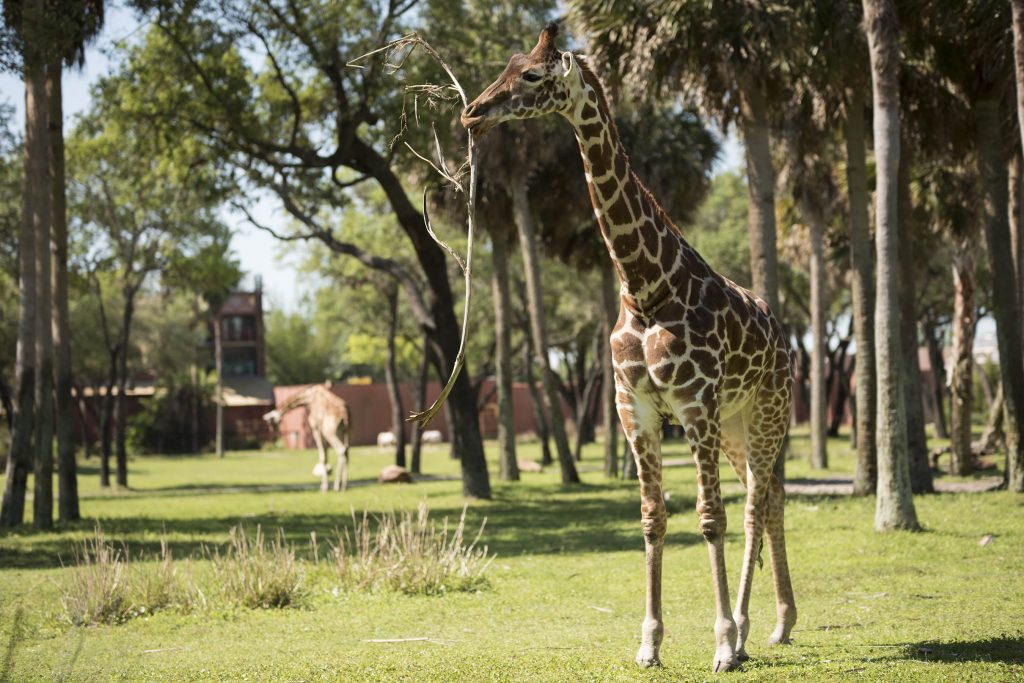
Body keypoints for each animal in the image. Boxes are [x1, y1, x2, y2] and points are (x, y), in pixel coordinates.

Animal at [462, 24, 796, 672]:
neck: (645, 286)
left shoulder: (693, 406)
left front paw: (720, 644)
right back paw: (775, 625)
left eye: (532, 75)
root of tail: (788, 343)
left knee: (753, 505)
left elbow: (709, 518)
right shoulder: (631, 407)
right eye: (508, 64)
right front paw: (649, 643)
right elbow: (651, 519)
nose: (473, 113)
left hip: (768, 412)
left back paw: (746, 631)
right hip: (737, 424)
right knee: (770, 497)